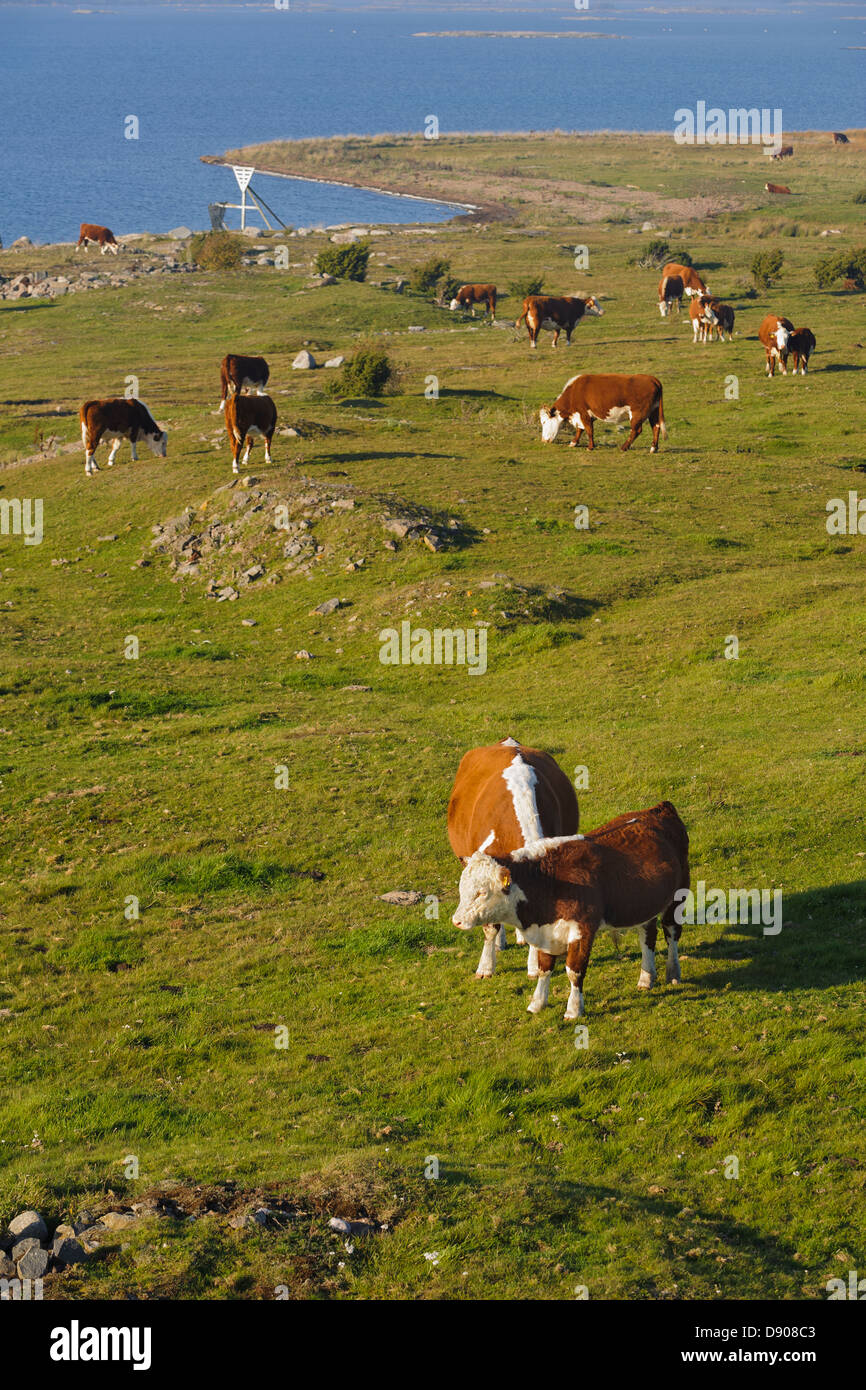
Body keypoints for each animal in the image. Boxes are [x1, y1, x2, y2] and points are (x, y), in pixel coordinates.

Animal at [447, 737, 580, 980]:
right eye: (472, 892)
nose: (457, 921)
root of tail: (509, 742)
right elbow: (491, 927)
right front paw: (486, 966)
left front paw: (534, 965)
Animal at [452, 800, 690, 1019]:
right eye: (462, 889)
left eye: (481, 892)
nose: (456, 920)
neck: (548, 881)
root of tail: (657, 809)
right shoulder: (547, 931)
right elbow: (544, 967)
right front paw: (537, 1003)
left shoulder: (582, 931)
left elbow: (574, 971)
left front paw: (574, 1008)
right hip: (645, 905)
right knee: (647, 936)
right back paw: (646, 978)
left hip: (678, 896)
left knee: (671, 933)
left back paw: (673, 972)